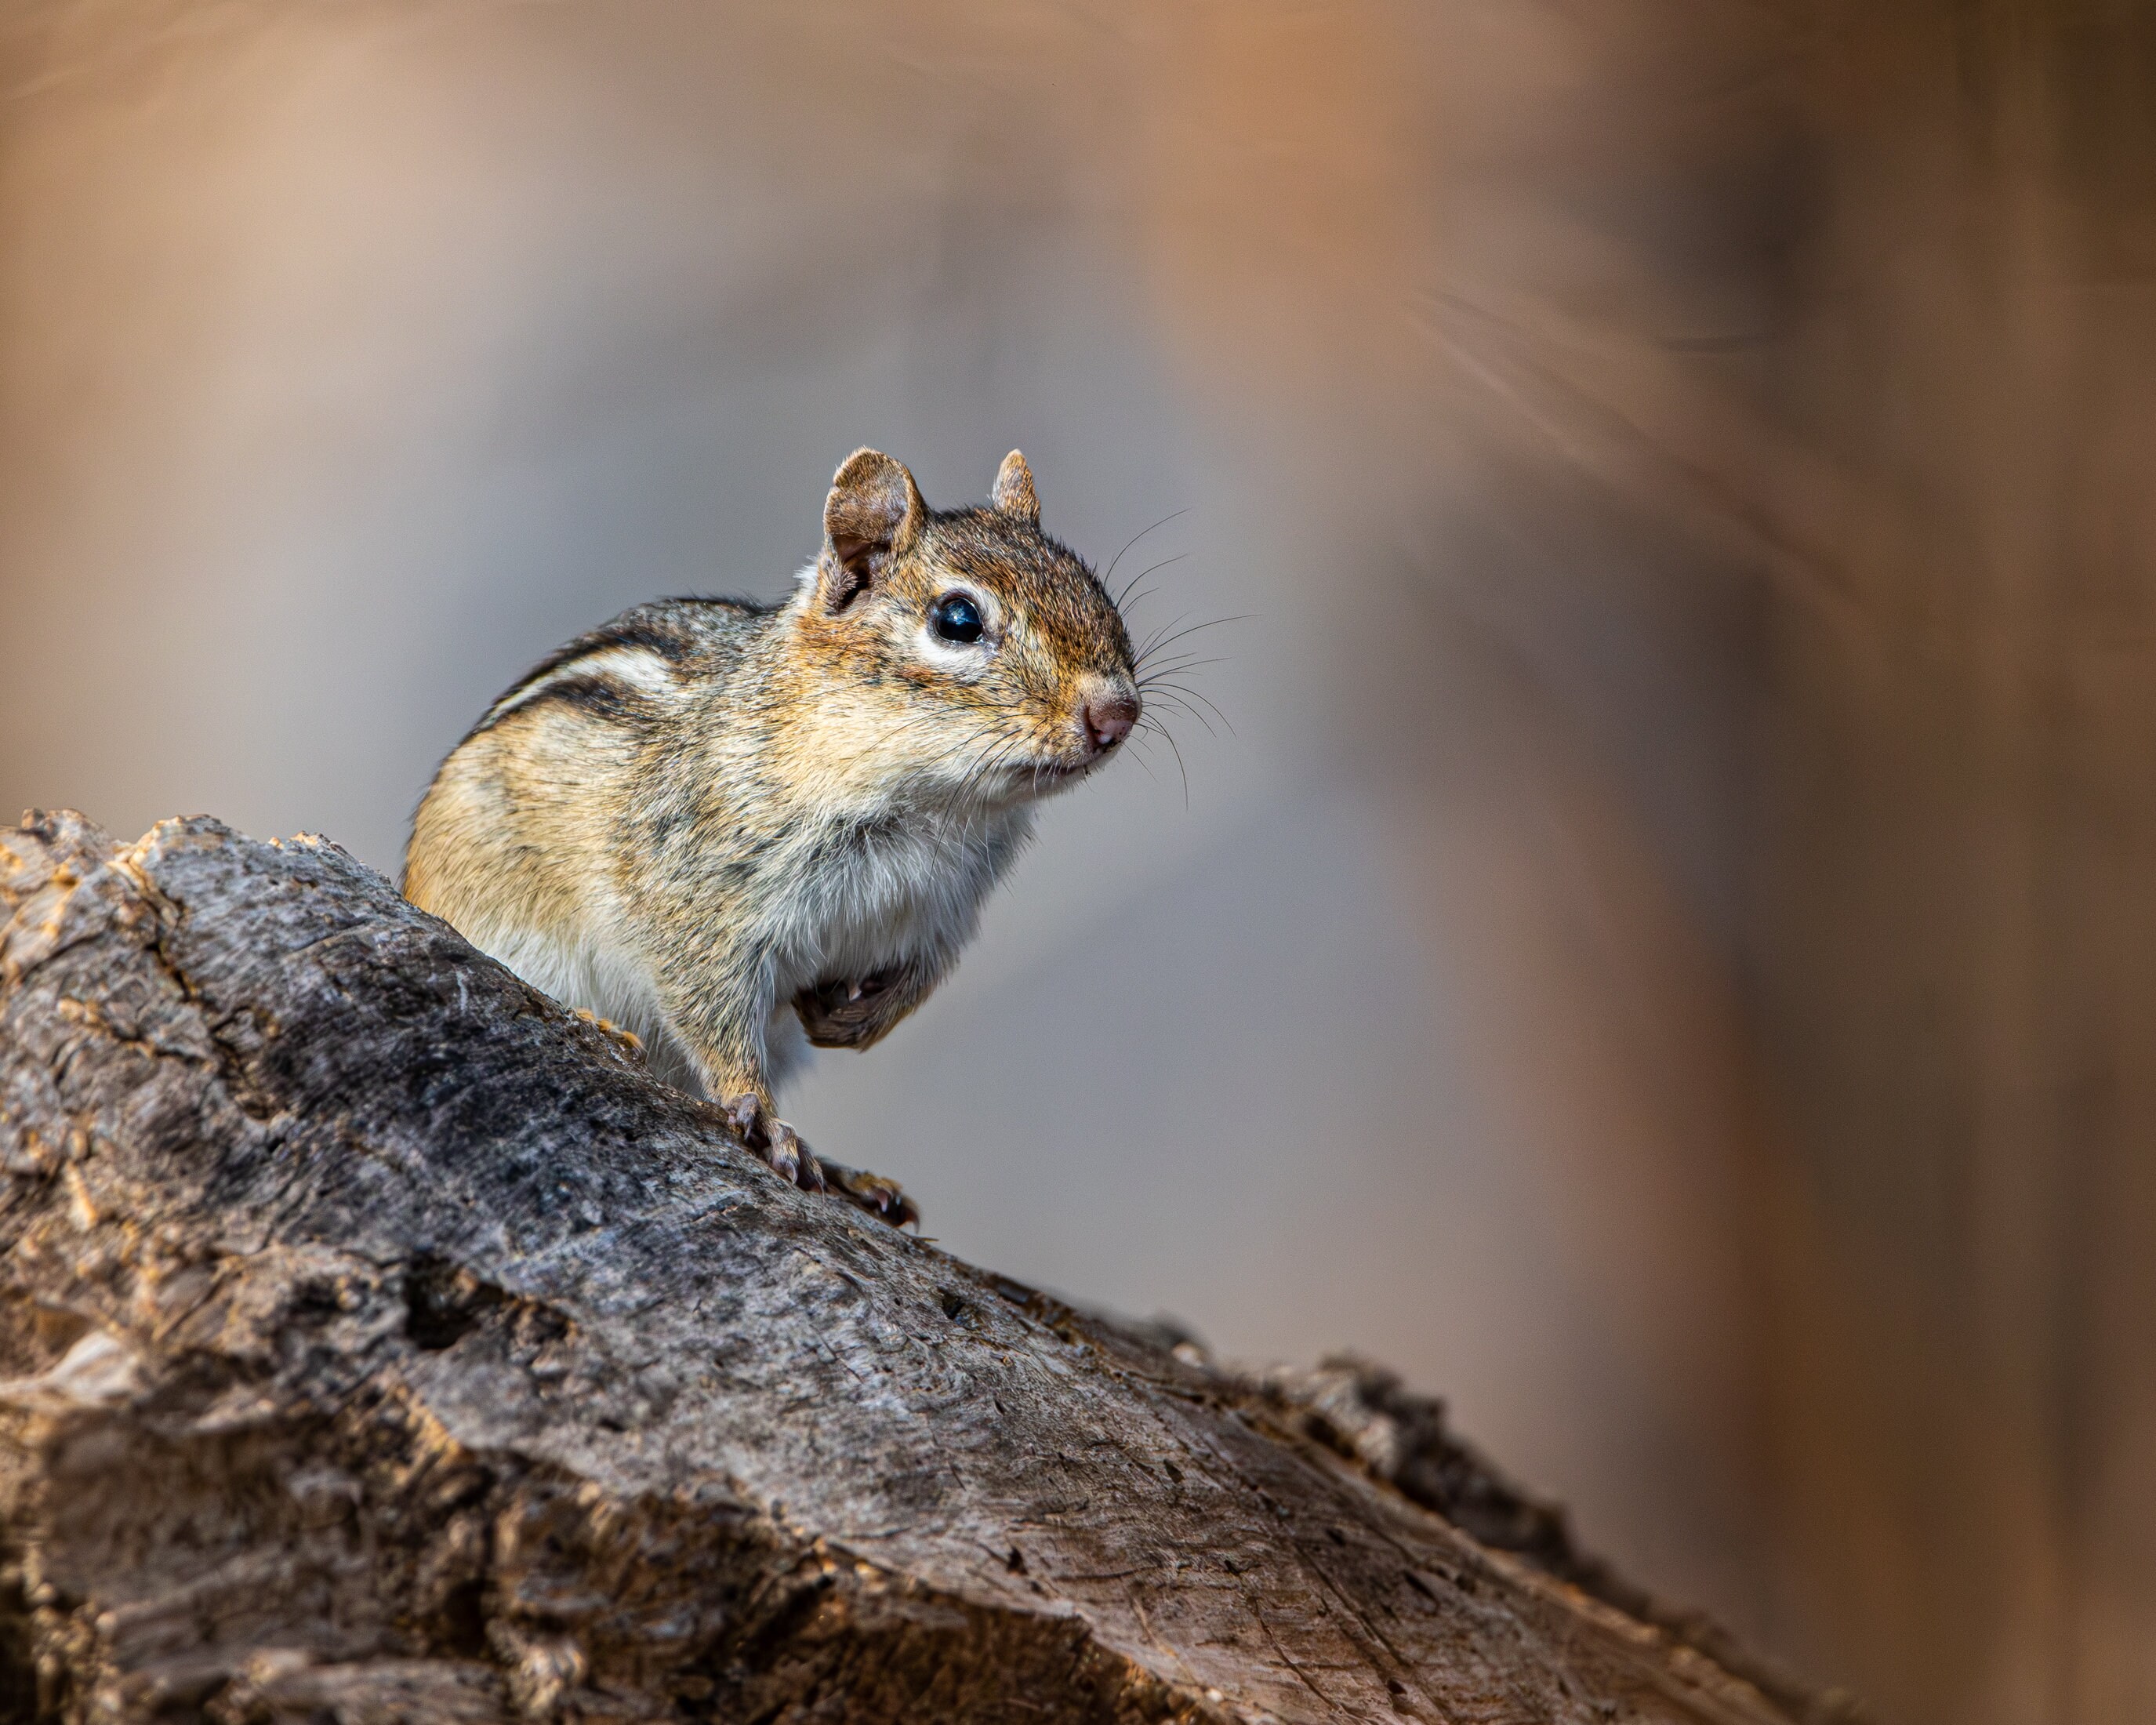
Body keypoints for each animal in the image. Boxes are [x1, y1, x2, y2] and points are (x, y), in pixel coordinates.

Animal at [402, 448, 1141, 1222]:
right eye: (959, 619)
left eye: (1092, 586)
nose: (1118, 714)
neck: (934, 806)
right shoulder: (697, 899)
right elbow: (714, 1015)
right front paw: (759, 1113)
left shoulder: (943, 914)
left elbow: (920, 981)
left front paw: (853, 1025)